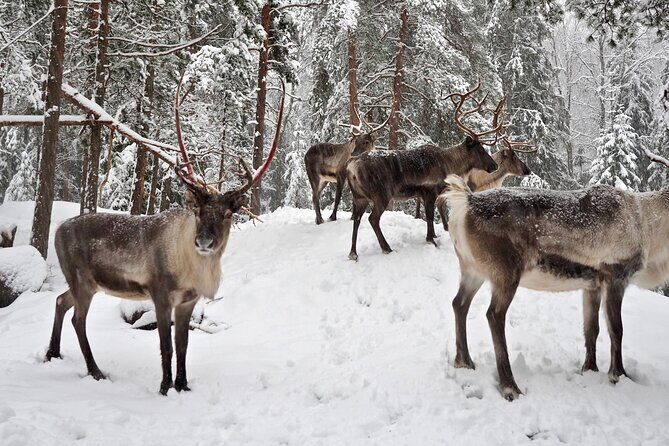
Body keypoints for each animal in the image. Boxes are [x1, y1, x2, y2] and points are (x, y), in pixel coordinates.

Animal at [44, 76, 286, 395]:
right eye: (198, 211)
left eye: (227, 214)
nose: (204, 241)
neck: (190, 267)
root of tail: (57, 230)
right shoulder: (159, 294)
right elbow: (166, 346)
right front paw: (164, 387)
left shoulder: (188, 301)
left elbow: (183, 345)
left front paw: (183, 385)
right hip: (82, 280)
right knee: (78, 319)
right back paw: (95, 371)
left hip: (85, 283)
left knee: (60, 301)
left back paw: (52, 353)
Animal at [346, 84, 506, 260]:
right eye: (480, 149)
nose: (494, 165)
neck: (450, 165)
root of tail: (352, 167)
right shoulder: (429, 191)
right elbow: (429, 216)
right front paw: (431, 240)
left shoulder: (423, 195)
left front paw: (434, 236)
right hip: (382, 194)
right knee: (372, 219)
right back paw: (386, 248)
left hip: (359, 197)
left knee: (357, 219)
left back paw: (353, 253)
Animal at [438, 150, 669, 401]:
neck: (647, 226)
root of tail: (467, 201)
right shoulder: (617, 276)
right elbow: (616, 330)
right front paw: (618, 375)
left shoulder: (592, 284)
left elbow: (592, 329)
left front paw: (589, 369)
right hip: (506, 272)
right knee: (494, 314)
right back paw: (510, 386)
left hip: (472, 270)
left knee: (459, 303)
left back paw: (464, 362)